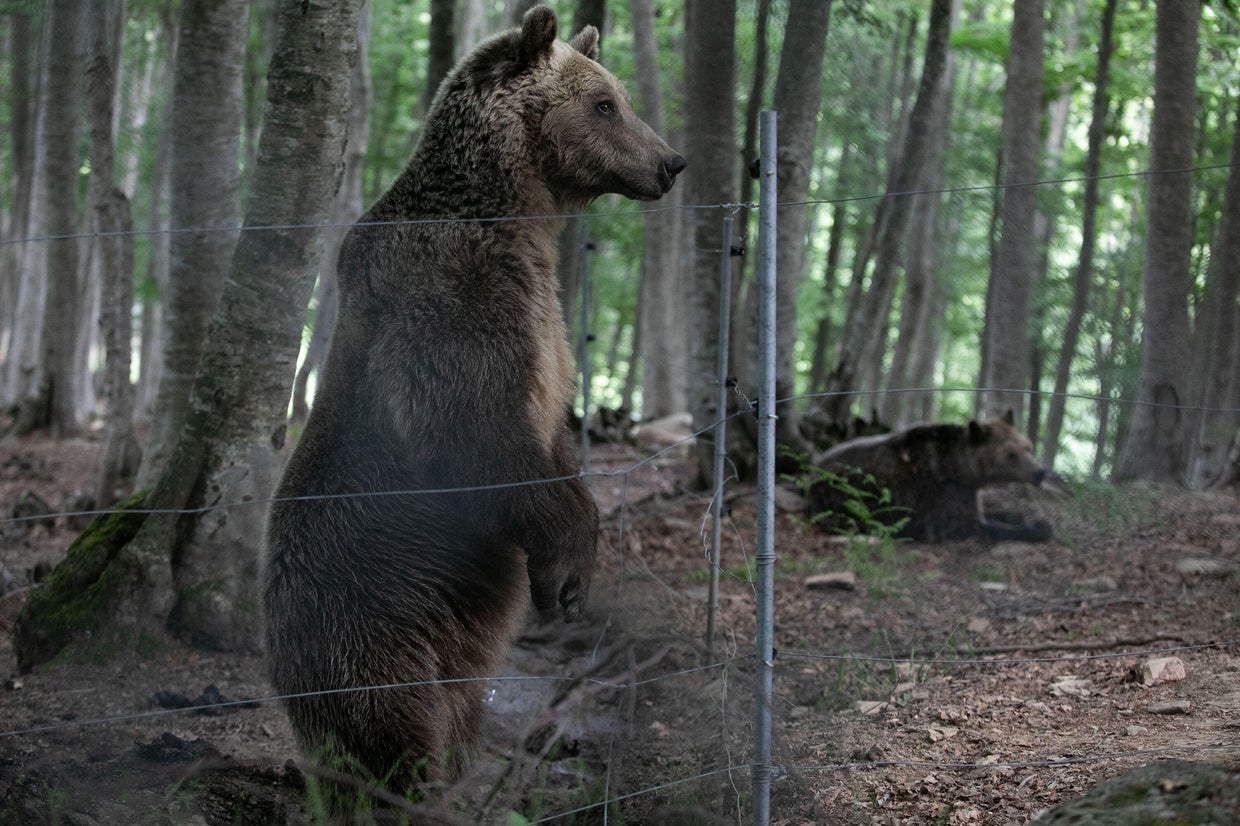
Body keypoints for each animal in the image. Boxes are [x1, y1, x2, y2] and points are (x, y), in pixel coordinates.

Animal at [261, 6, 685, 796]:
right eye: (605, 103)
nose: (671, 162)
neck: (511, 212)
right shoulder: (456, 298)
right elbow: (478, 431)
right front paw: (567, 573)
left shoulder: (544, 321)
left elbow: (550, 431)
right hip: (369, 608)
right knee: (385, 720)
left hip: (453, 636)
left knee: (454, 711)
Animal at [805, 411, 1055, 543]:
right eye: (1011, 454)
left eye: (1028, 447)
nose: (1039, 472)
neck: (964, 470)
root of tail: (813, 469)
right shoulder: (943, 494)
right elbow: (970, 526)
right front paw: (1038, 528)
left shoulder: (967, 491)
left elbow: (988, 511)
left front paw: (1019, 515)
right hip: (845, 495)